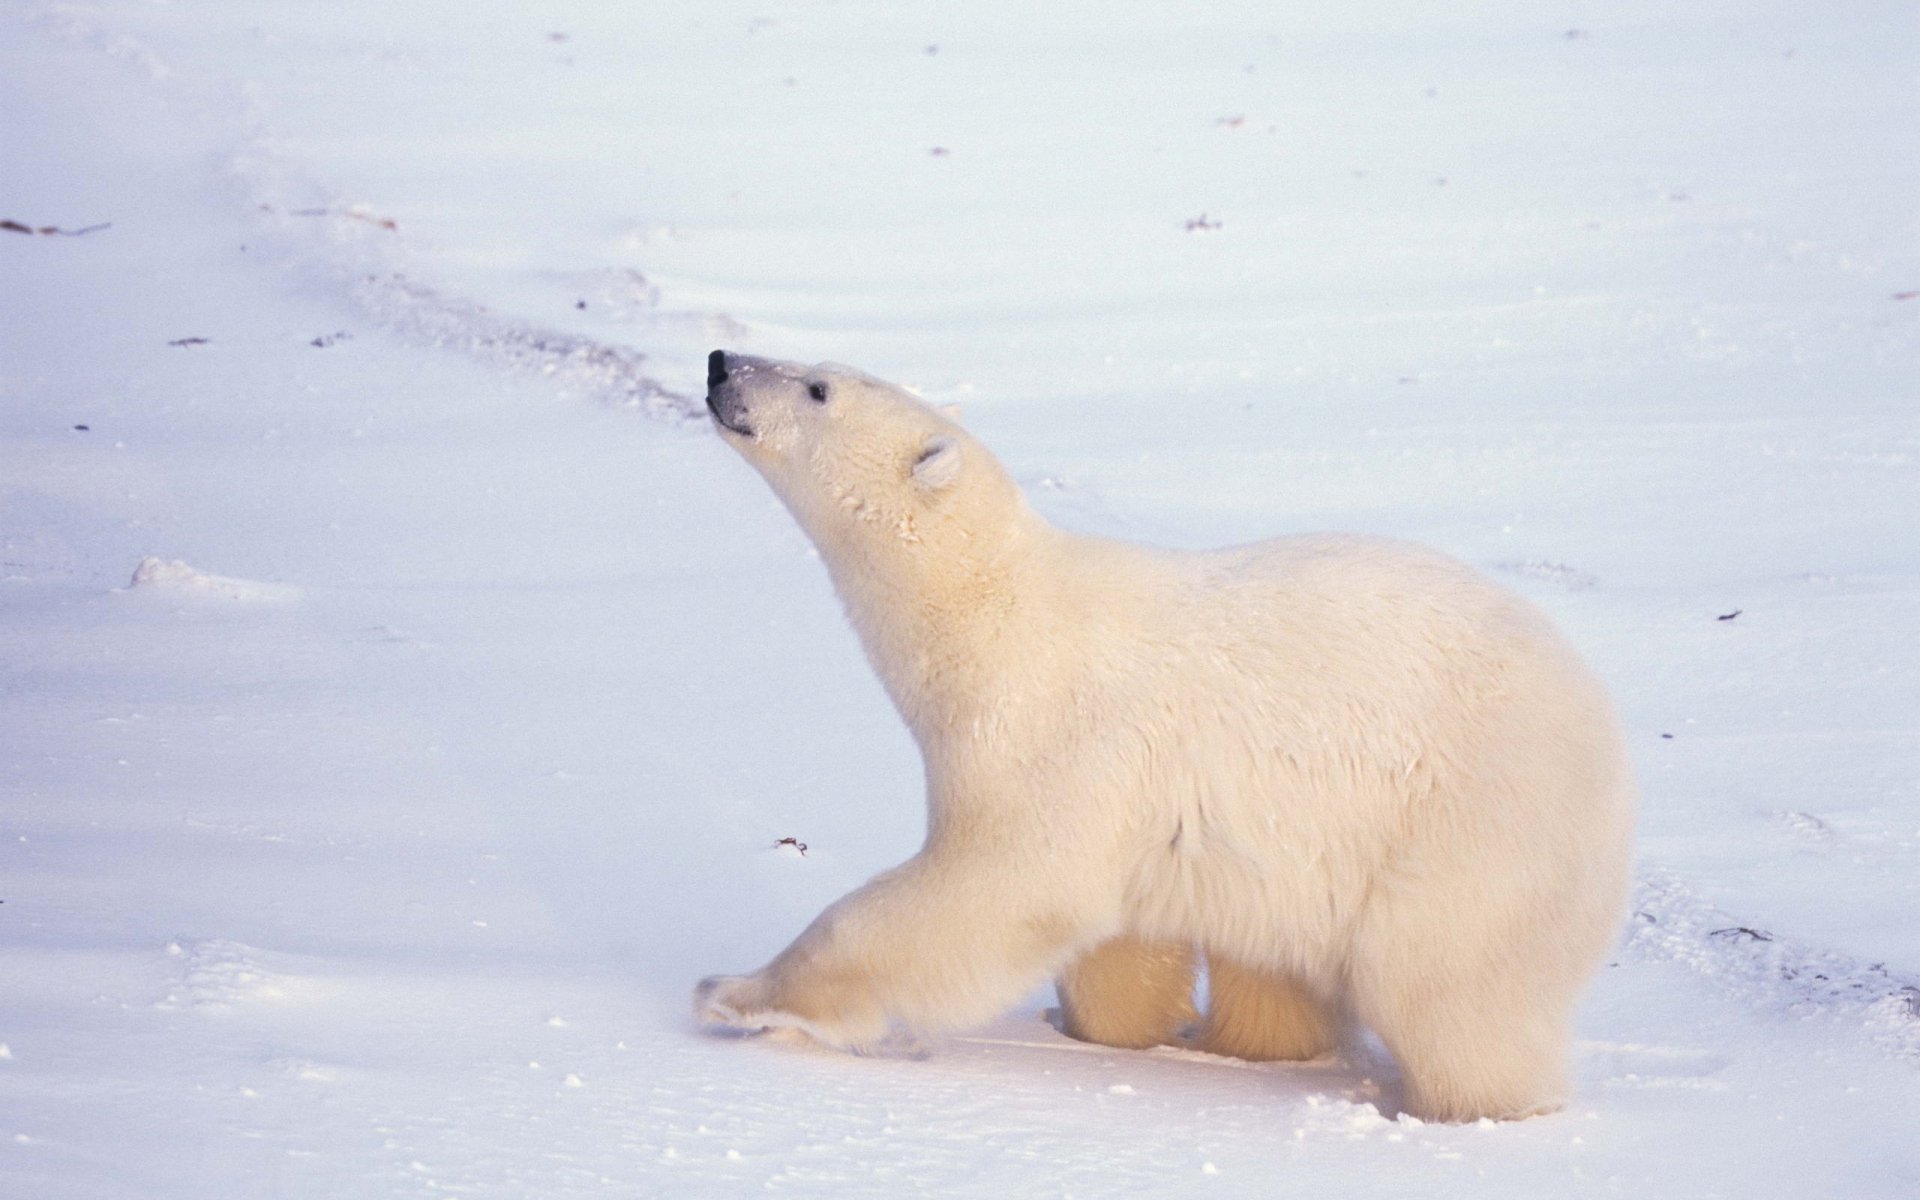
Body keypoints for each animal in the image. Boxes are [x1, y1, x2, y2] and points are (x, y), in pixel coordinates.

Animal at [694, 350, 1635, 1122]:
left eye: (818, 387)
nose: (719, 363)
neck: (994, 613)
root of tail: (1602, 726)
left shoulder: (1056, 738)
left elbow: (992, 890)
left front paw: (733, 992)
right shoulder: (1130, 799)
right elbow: (1121, 940)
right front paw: (1097, 1025)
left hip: (1470, 820)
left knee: (1447, 985)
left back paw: (1458, 1104)